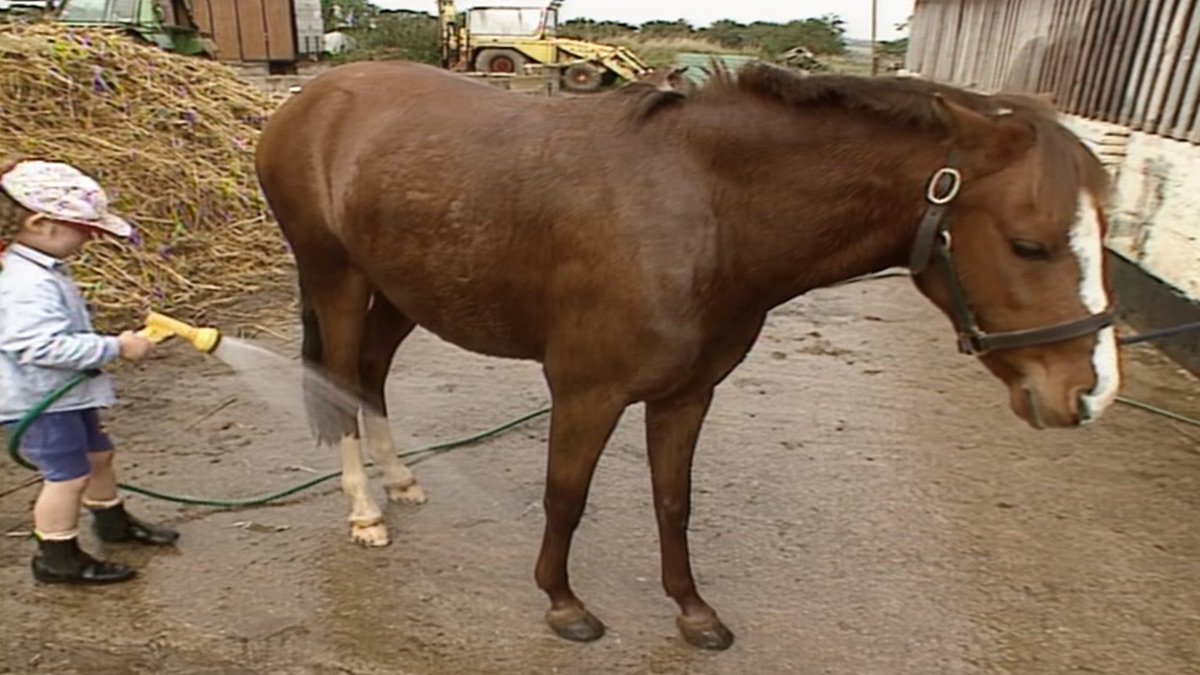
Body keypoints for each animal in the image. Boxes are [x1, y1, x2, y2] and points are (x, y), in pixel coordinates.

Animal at [254, 60, 1121, 650]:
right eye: (1029, 243)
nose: (1089, 392)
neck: (703, 210)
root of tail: (309, 100)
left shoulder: (688, 392)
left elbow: (674, 501)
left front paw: (693, 611)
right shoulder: (587, 390)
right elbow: (566, 494)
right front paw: (563, 602)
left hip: (399, 289)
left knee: (369, 375)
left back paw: (399, 481)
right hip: (334, 275)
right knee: (338, 377)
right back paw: (366, 511)